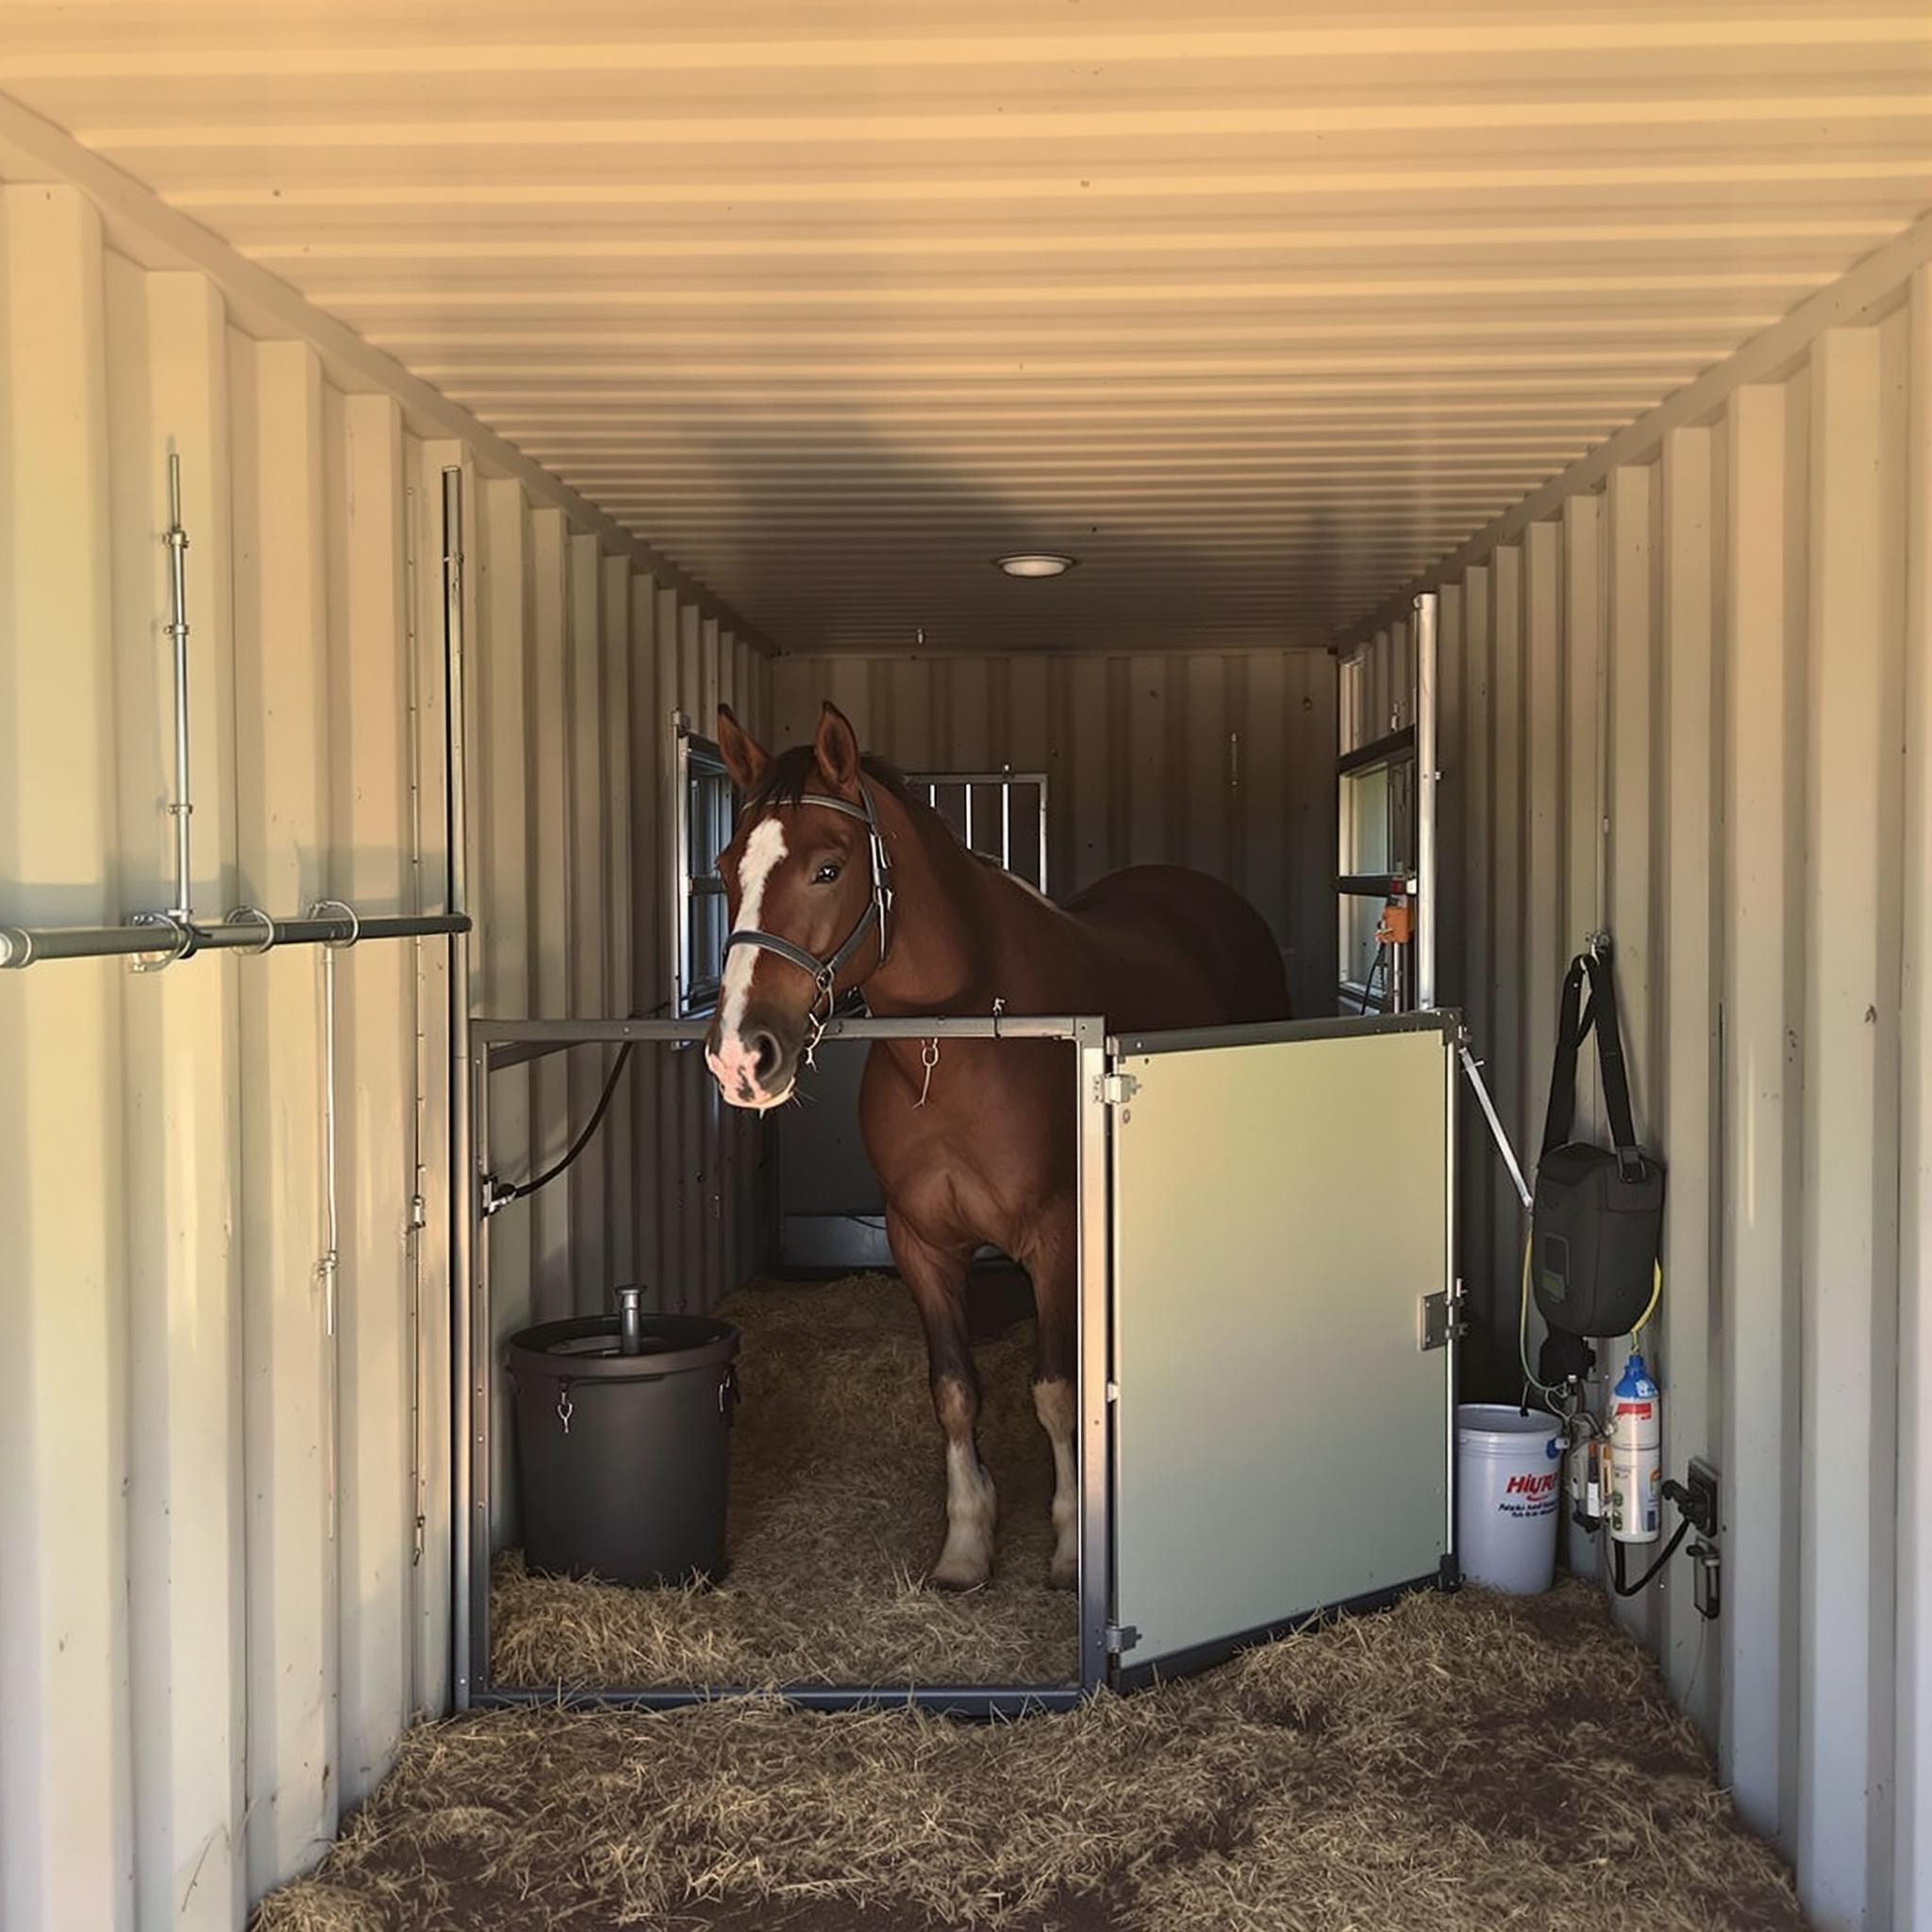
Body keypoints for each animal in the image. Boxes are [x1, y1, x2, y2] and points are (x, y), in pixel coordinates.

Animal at [703, 700, 1291, 1593]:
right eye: (727, 866)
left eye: (828, 869)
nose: (742, 1057)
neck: (960, 1049)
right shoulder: (919, 1242)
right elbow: (953, 1389)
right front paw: (967, 1543)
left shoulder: (1053, 1237)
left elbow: (1054, 1390)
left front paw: (1073, 1545)